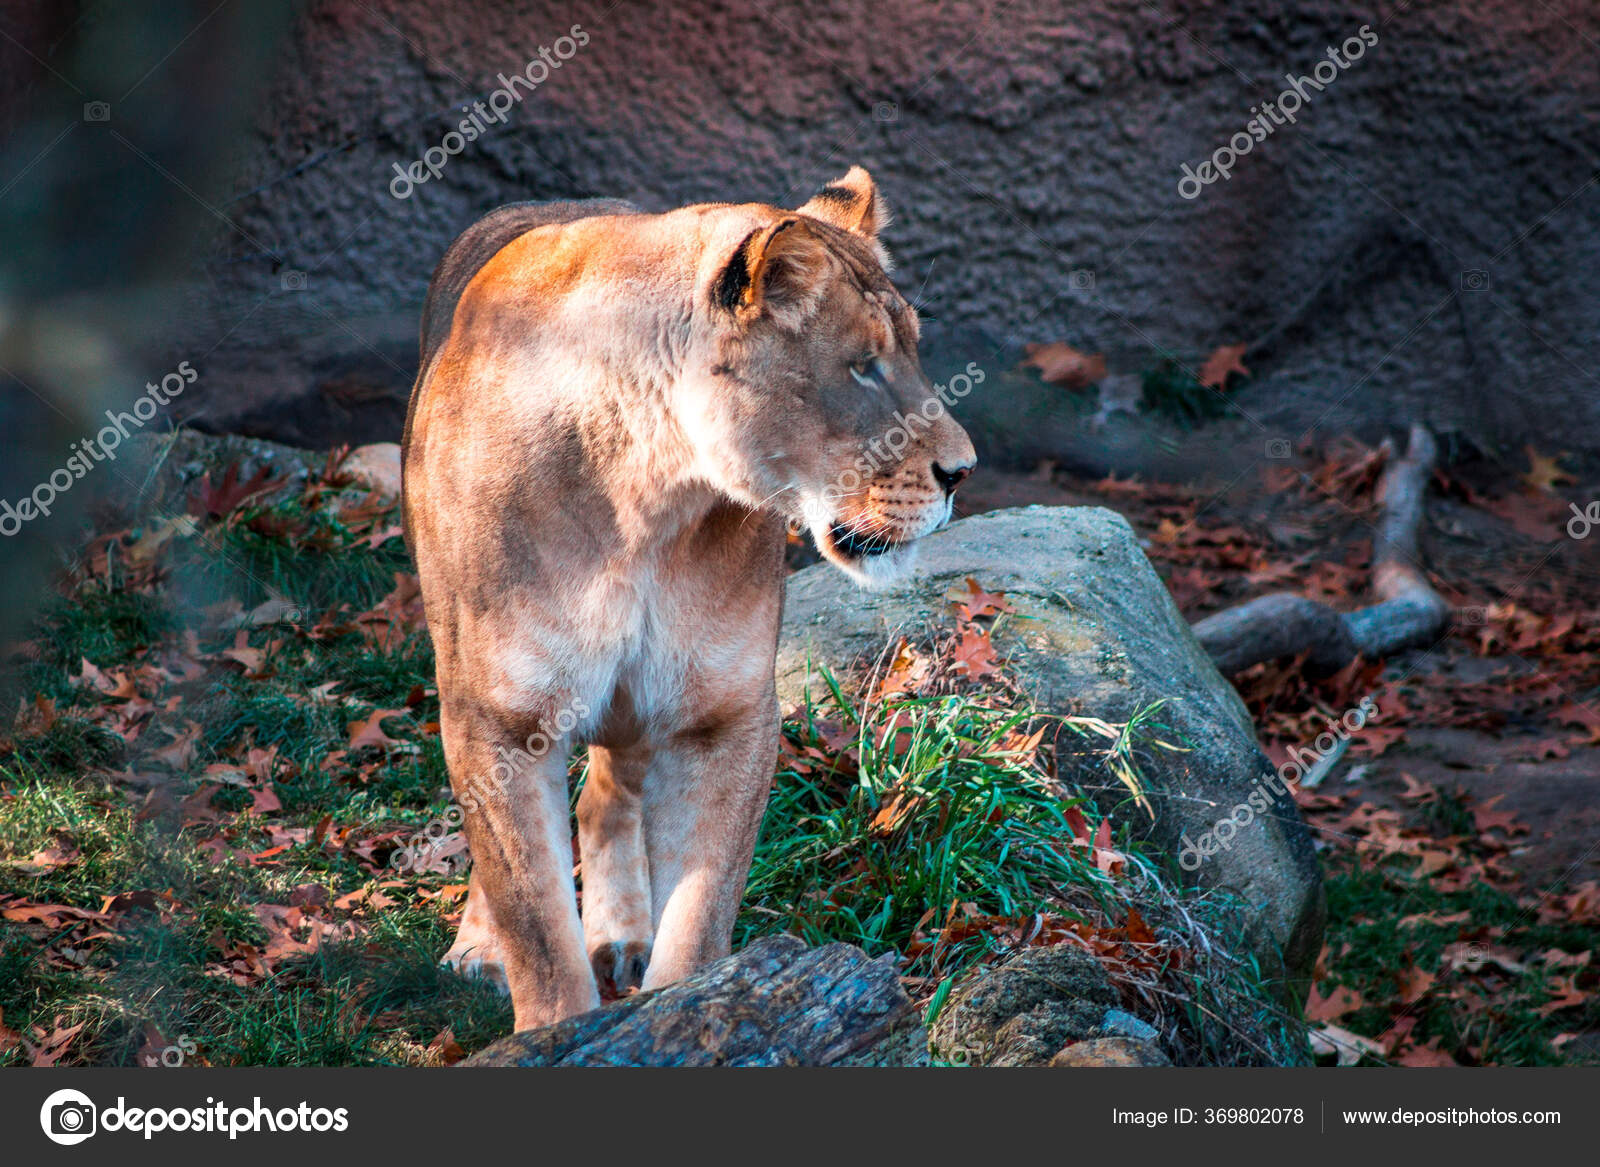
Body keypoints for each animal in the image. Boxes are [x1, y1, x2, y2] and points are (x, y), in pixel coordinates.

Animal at [401, 167, 976, 1030]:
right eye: (862, 365)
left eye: (910, 350)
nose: (962, 471)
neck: (647, 494)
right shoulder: (498, 715)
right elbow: (533, 918)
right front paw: (554, 1025)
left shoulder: (724, 711)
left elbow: (702, 913)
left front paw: (681, 1006)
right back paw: (479, 948)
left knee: (606, 795)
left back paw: (621, 935)